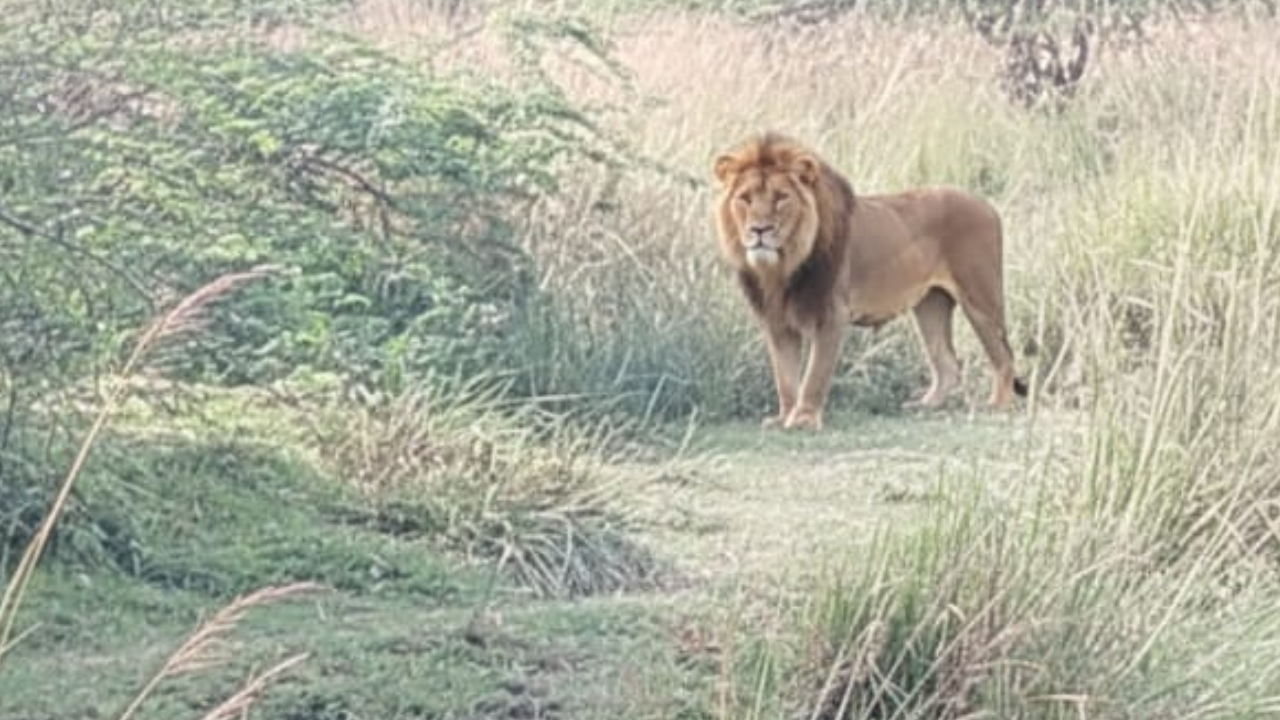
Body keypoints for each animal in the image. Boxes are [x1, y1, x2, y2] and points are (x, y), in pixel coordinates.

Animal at [713, 132, 1027, 430]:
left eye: (781, 197)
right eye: (745, 198)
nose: (759, 230)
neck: (781, 267)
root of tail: (987, 204)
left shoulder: (832, 313)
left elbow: (815, 374)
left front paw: (803, 419)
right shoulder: (776, 321)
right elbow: (785, 377)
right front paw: (784, 417)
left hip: (980, 297)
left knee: (1004, 356)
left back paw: (998, 405)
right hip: (930, 303)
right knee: (949, 364)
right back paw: (926, 405)